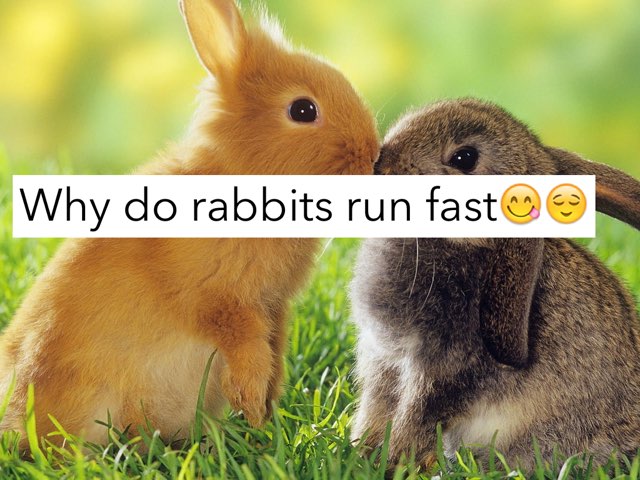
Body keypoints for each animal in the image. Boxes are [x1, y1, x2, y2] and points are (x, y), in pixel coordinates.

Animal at [0, 0, 379, 449]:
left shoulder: (274, 307)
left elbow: (274, 354)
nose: (372, 155)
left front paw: (265, 417)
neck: (242, 175)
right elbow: (247, 349)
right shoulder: (220, 301)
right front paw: (252, 407)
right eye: (303, 110)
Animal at [349, 98, 640, 470]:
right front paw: (361, 452)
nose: (381, 164)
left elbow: (417, 416)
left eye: (465, 158)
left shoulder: (442, 368)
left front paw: (393, 461)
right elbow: (376, 408)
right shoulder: (384, 360)